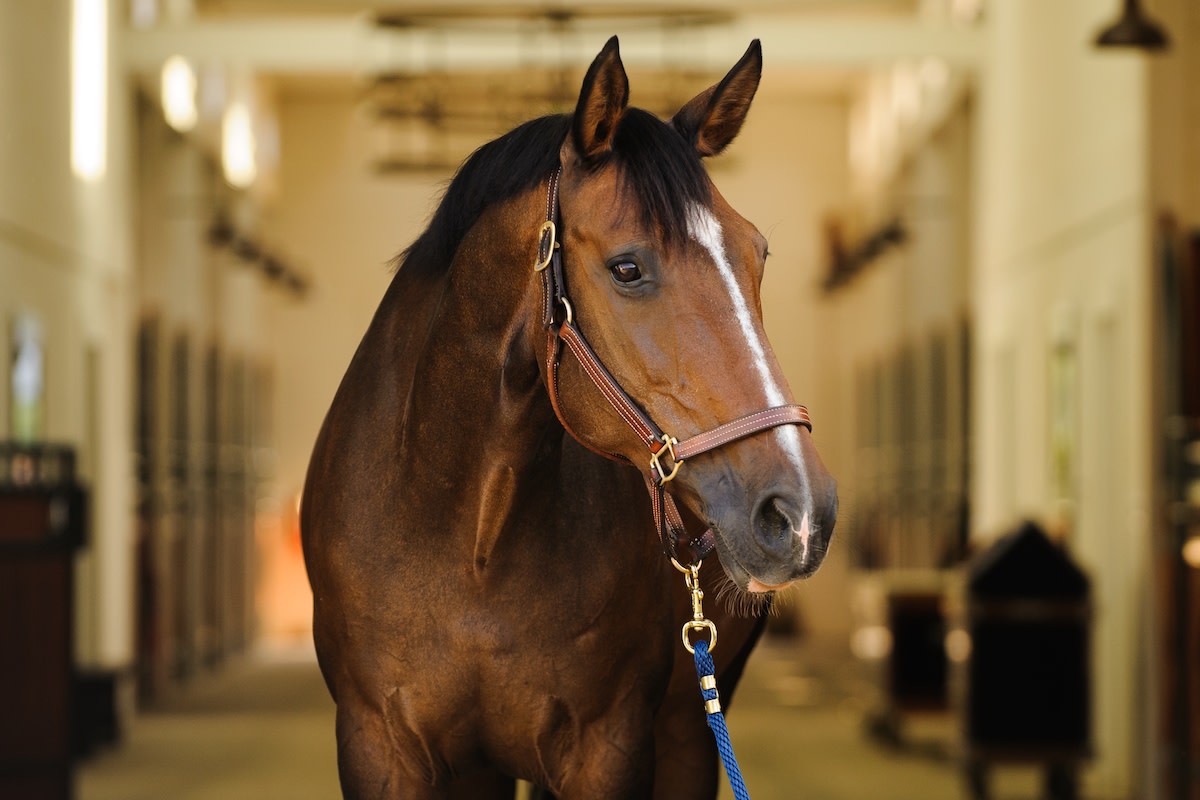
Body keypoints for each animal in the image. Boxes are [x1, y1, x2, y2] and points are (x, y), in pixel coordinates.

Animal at [301, 36, 838, 800]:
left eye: (756, 255)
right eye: (626, 268)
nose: (800, 513)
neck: (472, 544)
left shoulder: (607, 748)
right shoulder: (380, 746)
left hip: (691, 729)